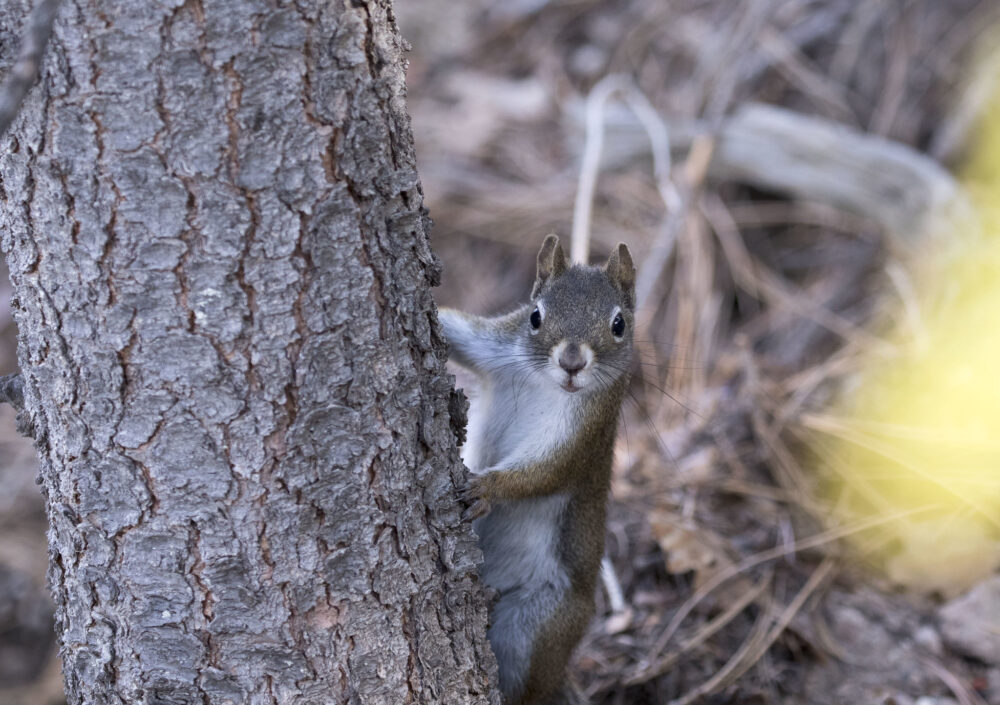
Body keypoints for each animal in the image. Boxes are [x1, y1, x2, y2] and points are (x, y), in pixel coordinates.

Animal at [438, 234, 635, 705]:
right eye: (535, 316)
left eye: (619, 324)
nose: (572, 363)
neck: (544, 384)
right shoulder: (496, 346)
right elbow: (458, 330)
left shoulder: (584, 433)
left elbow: (546, 471)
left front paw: (487, 488)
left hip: (535, 625)